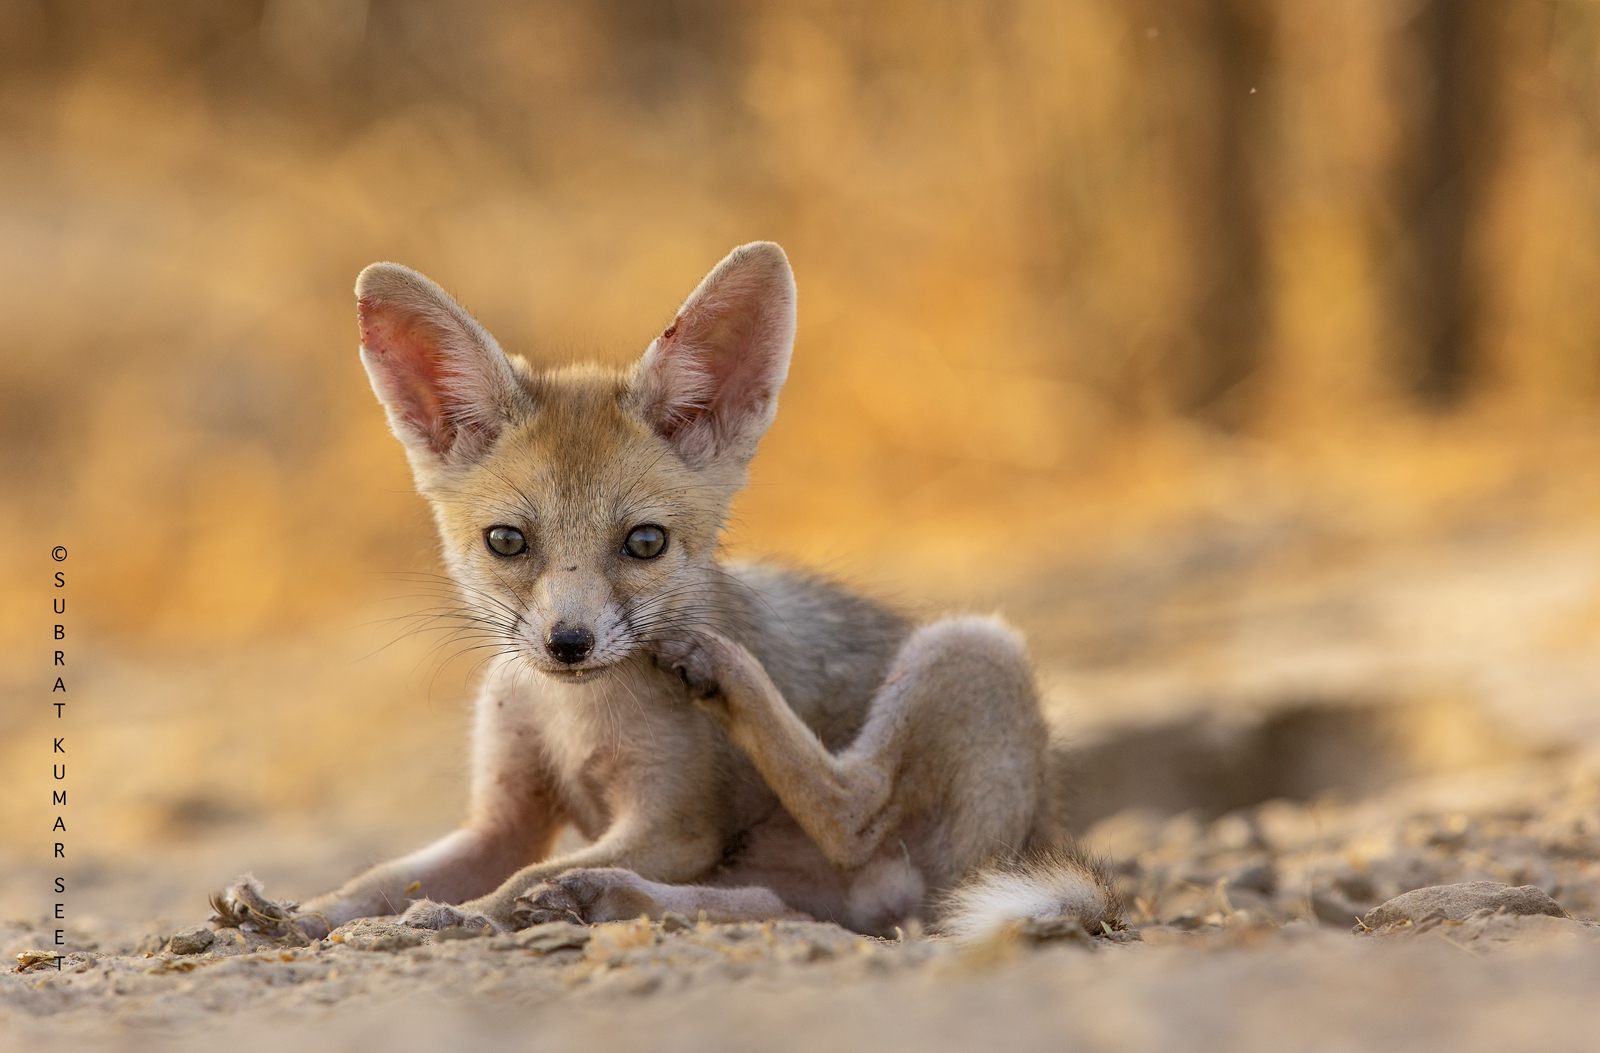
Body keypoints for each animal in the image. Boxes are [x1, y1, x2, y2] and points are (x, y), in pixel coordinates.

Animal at [220, 242, 1122, 943]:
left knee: (851, 808)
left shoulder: (675, 821)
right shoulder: (500, 821)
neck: (576, 720)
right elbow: (383, 877)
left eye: (645, 542)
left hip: (971, 647)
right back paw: (606, 895)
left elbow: (513, 882)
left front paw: (458, 918)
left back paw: (718, 681)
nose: (569, 642)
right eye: (508, 541)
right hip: (805, 881)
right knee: (782, 906)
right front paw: (300, 914)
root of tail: (1040, 833)